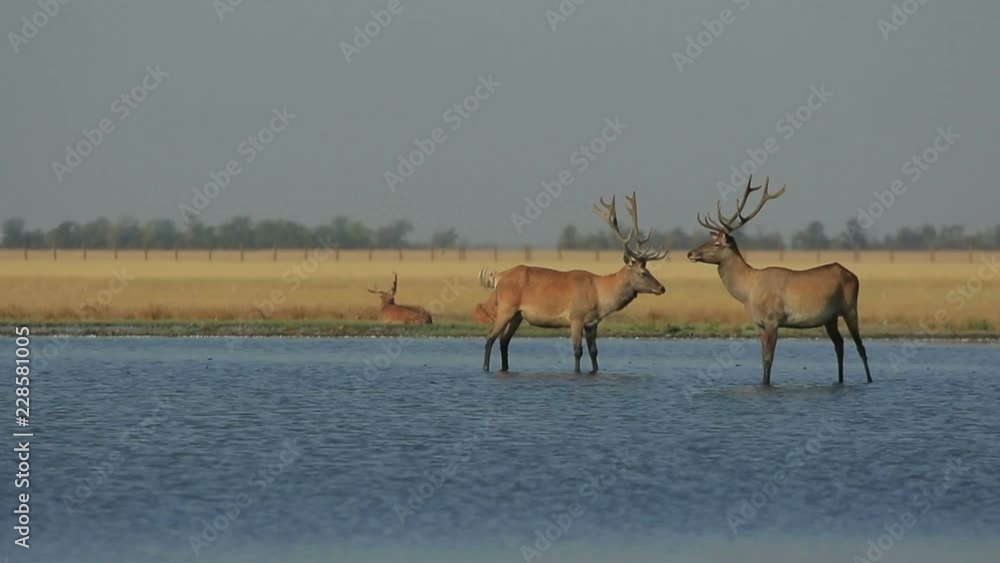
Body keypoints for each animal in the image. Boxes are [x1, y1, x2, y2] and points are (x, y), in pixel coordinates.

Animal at [480, 192, 667, 373]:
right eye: (643, 273)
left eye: (649, 270)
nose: (662, 288)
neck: (600, 295)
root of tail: (499, 277)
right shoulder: (576, 317)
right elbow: (578, 350)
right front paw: (577, 372)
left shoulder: (592, 323)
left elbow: (594, 351)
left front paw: (596, 371)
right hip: (506, 307)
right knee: (490, 337)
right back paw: (486, 368)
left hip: (517, 315)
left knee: (504, 340)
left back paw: (505, 368)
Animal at [686, 176, 873, 385]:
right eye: (710, 240)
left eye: (717, 244)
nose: (690, 253)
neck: (747, 292)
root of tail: (854, 276)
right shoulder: (760, 324)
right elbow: (762, 359)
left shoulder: (772, 321)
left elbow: (768, 359)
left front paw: (766, 384)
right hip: (830, 317)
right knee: (839, 344)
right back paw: (839, 380)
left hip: (850, 307)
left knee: (860, 346)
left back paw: (869, 380)